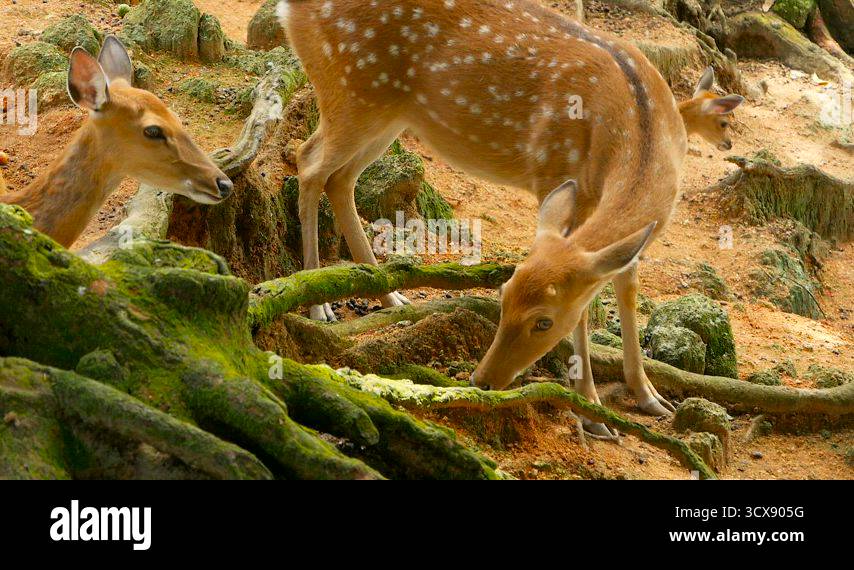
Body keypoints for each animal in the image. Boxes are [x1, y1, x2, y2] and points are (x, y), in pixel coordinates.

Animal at [278, 0, 743, 430]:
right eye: (502, 299)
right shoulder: (553, 173)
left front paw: (649, 396)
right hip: (352, 91)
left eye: (542, 321)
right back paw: (318, 305)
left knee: (341, 178)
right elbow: (587, 308)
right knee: (309, 161)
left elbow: (626, 287)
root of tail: (288, 9)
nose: (481, 381)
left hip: (389, 112)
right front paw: (590, 411)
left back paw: (389, 295)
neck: (641, 128)